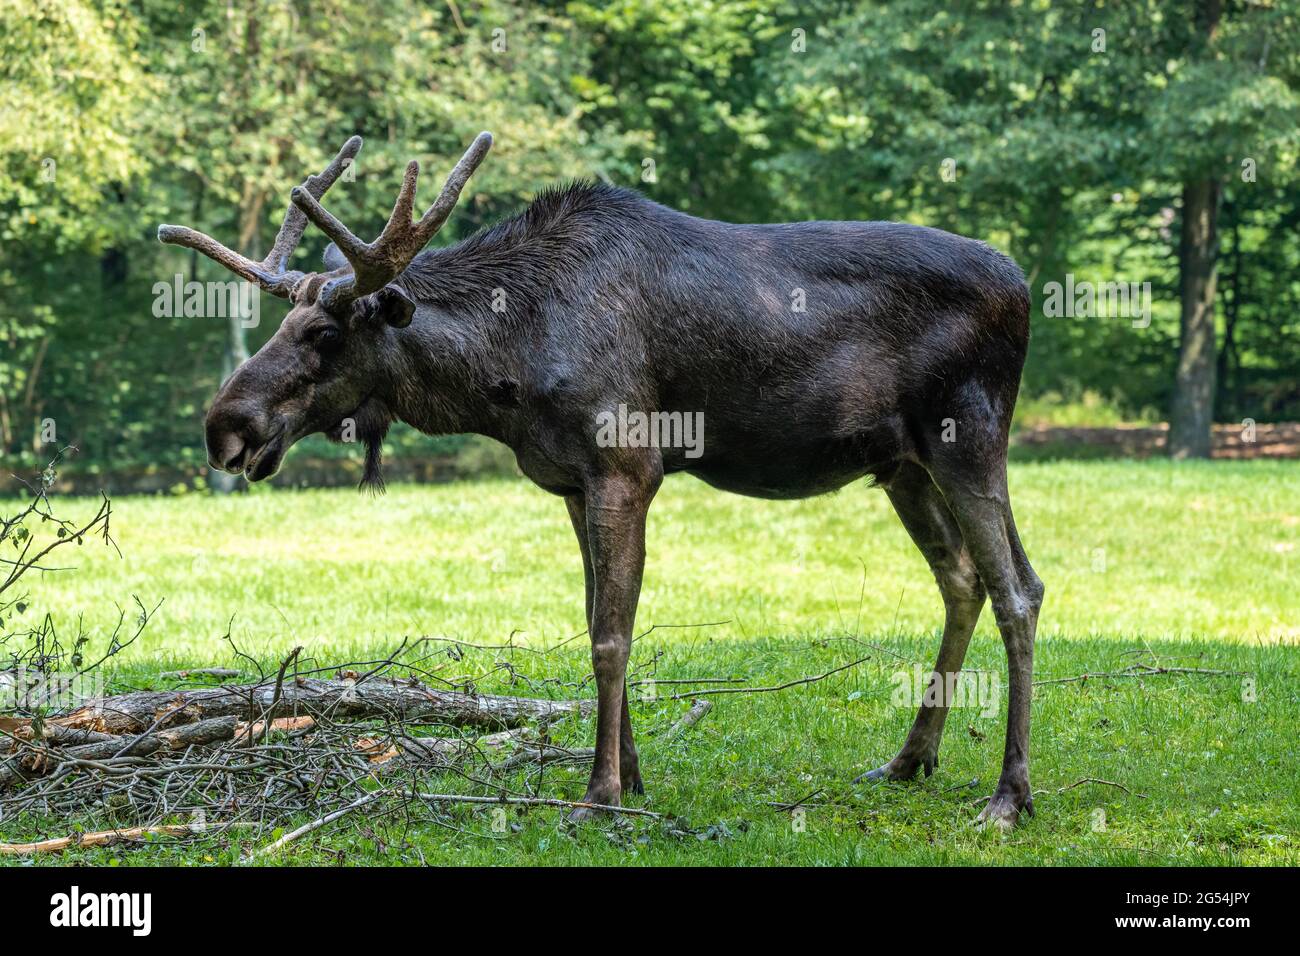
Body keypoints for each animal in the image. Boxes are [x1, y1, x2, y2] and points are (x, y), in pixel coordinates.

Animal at [159, 133, 1044, 829]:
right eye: (283, 322)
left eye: (326, 333)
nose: (225, 426)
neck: (503, 368)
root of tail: (1028, 288)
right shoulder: (571, 482)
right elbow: (594, 620)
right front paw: (633, 776)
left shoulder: (627, 466)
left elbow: (612, 635)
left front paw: (601, 794)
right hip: (900, 463)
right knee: (963, 578)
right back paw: (908, 760)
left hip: (968, 431)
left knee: (1017, 589)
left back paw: (1008, 797)